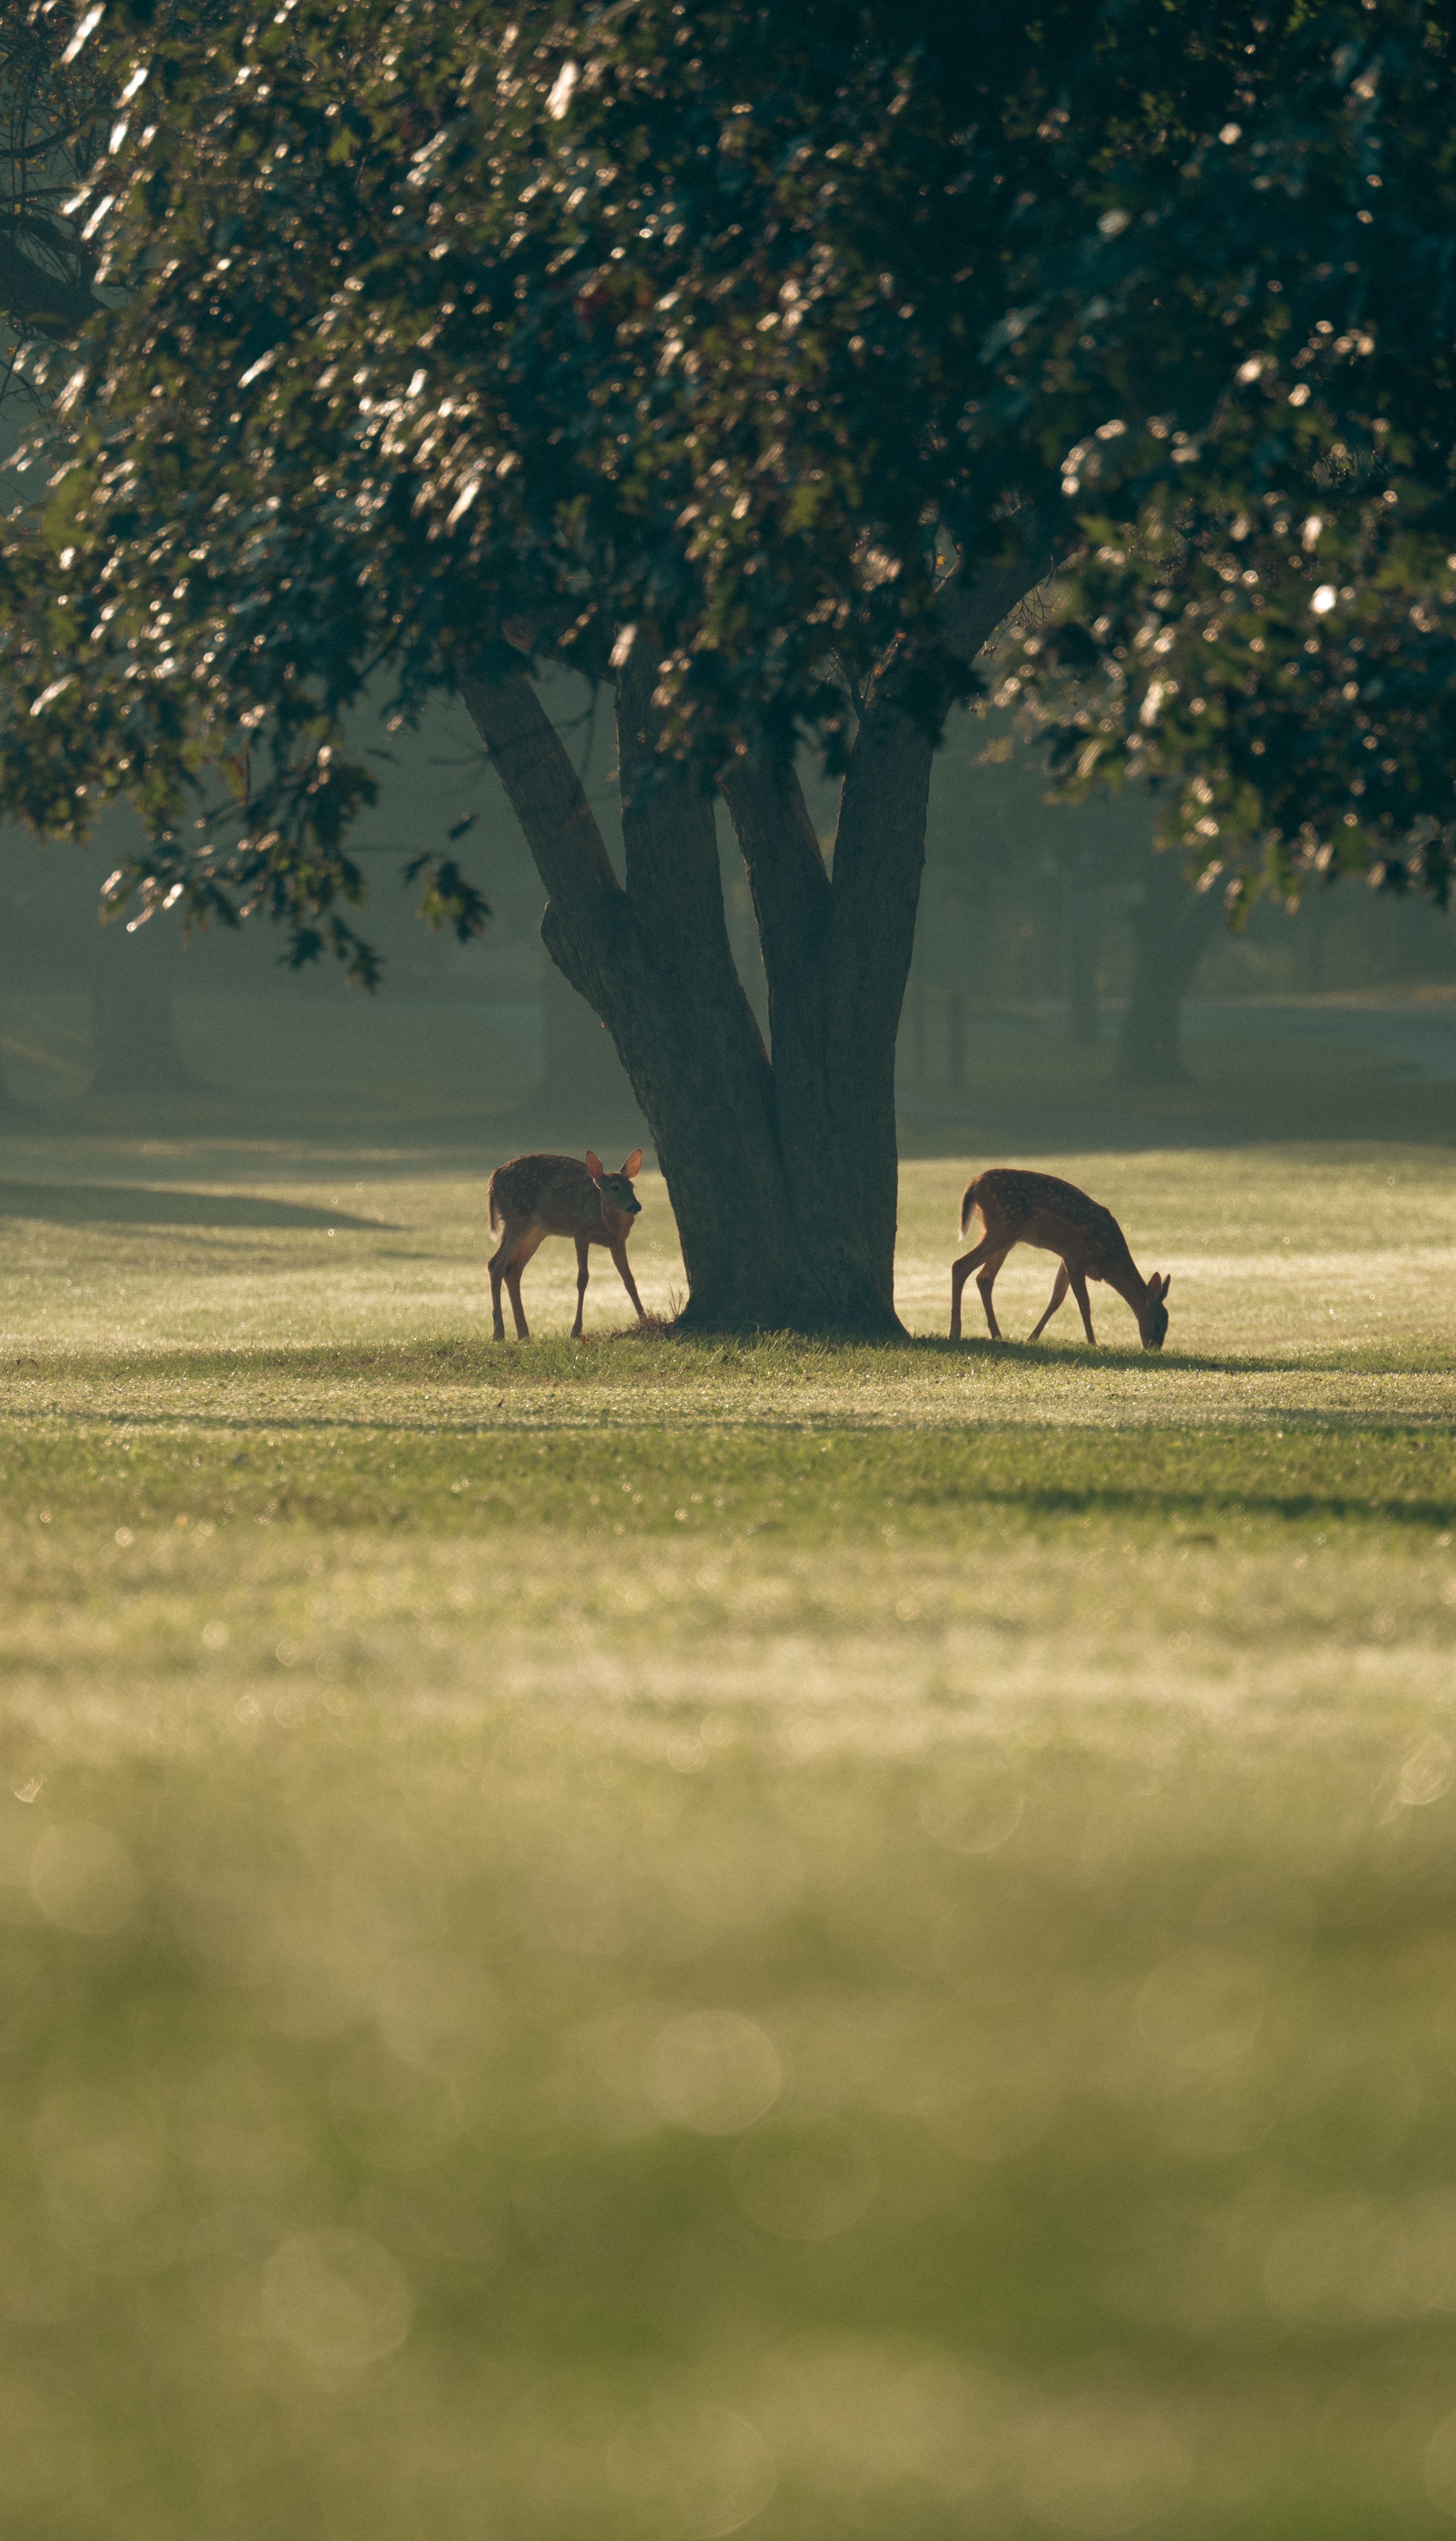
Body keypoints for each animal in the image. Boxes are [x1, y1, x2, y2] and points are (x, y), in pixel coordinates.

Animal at [487, 1149, 646, 1340]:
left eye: (632, 1187)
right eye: (615, 1187)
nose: (637, 1206)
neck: (607, 1222)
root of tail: (493, 1177)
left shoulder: (618, 1241)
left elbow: (629, 1280)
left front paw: (646, 1320)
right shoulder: (581, 1232)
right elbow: (582, 1278)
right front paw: (576, 1331)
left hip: (537, 1229)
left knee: (512, 1268)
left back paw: (524, 1334)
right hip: (517, 1217)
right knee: (495, 1265)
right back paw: (499, 1333)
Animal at [949, 1167, 1171, 1351]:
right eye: (1158, 1323)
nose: (1154, 1348)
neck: (1109, 1260)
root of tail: (975, 1183)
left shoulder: (1066, 1258)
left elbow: (1056, 1299)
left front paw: (1032, 1338)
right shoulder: (1075, 1257)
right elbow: (1084, 1303)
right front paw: (1093, 1343)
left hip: (1005, 1235)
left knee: (984, 1278)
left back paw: (997, 1334)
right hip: (1002, 1229)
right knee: (960, 1265)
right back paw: (955, 1333)